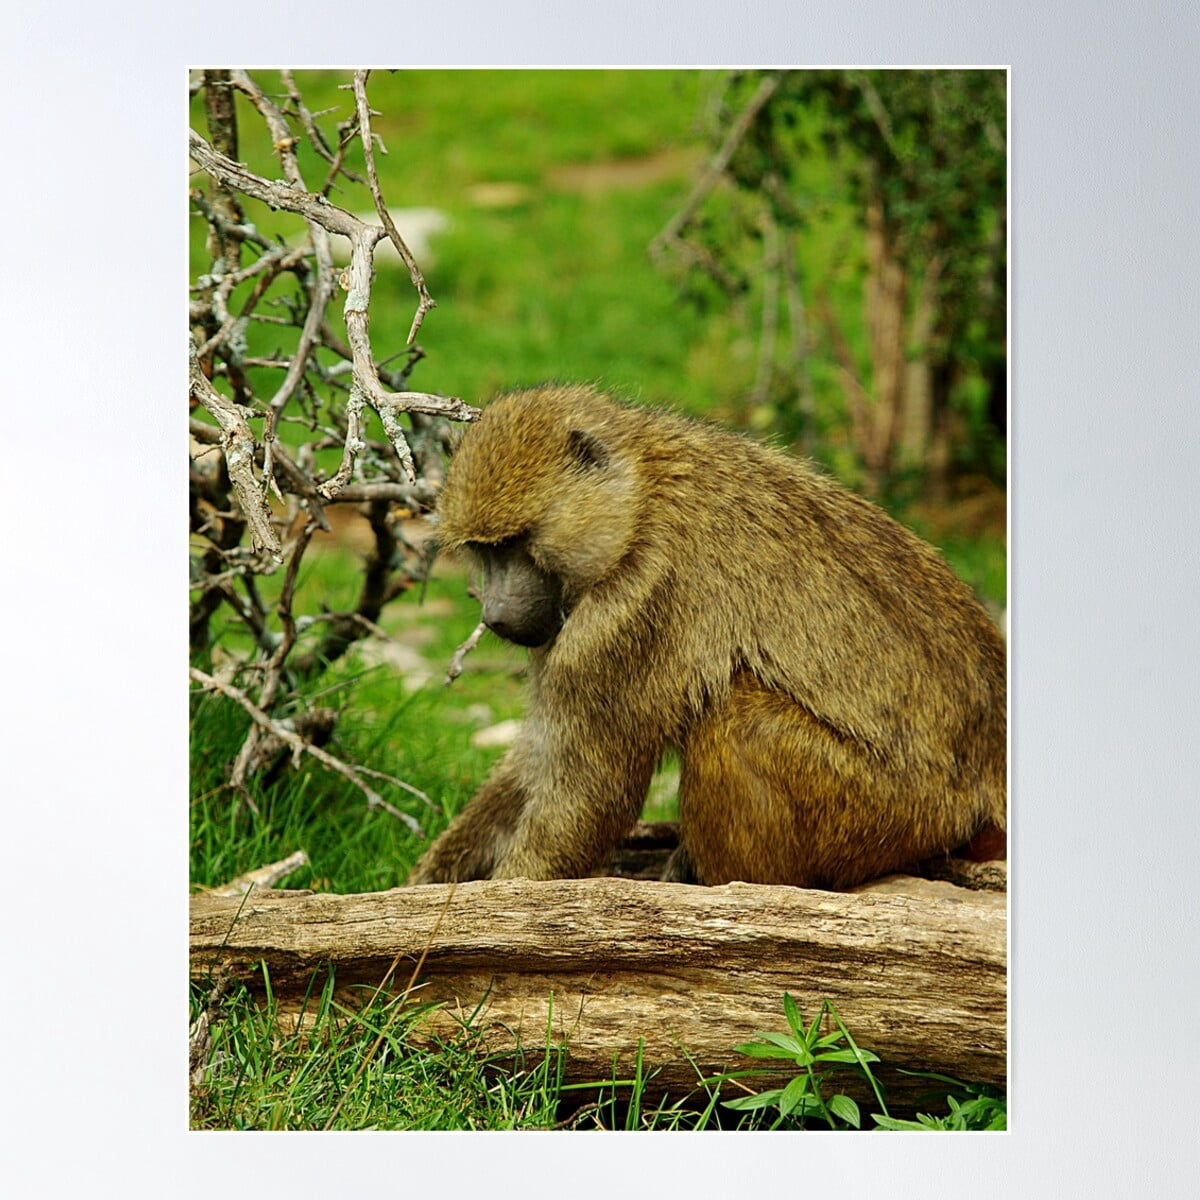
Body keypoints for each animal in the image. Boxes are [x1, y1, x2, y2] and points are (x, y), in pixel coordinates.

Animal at [406, 384, 1006, 890]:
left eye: (515, 544)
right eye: (485, 551)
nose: (496, 615)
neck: (639, 501)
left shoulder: (623, 615)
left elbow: (587, 793)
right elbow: (538, 755)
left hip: (890, 812)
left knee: (736, 720)